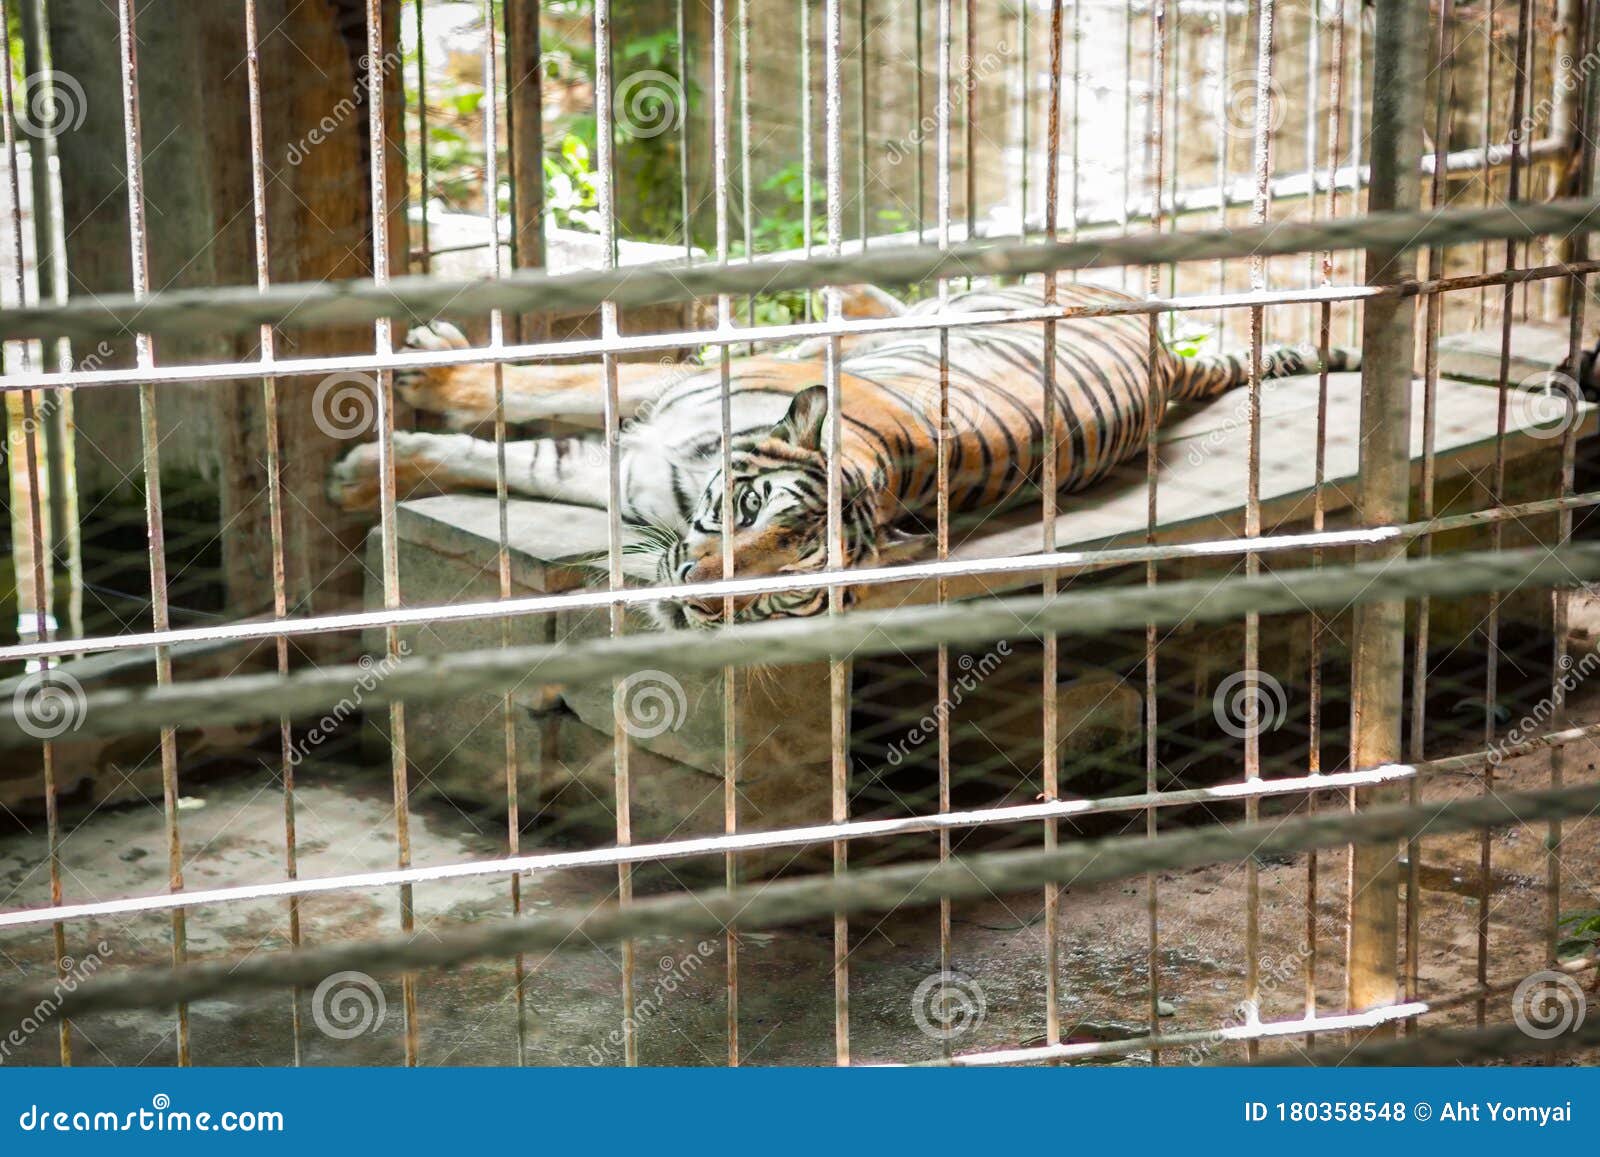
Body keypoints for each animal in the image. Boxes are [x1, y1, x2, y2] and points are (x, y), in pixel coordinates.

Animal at [327, 281, 1357, 628]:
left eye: (789, 586)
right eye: (747, 511)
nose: (699, 598)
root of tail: (1166, 351)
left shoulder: (628, 470)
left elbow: (527, 459)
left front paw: (373, 469)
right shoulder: (666, 402)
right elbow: (538, 390)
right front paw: (413, 397)